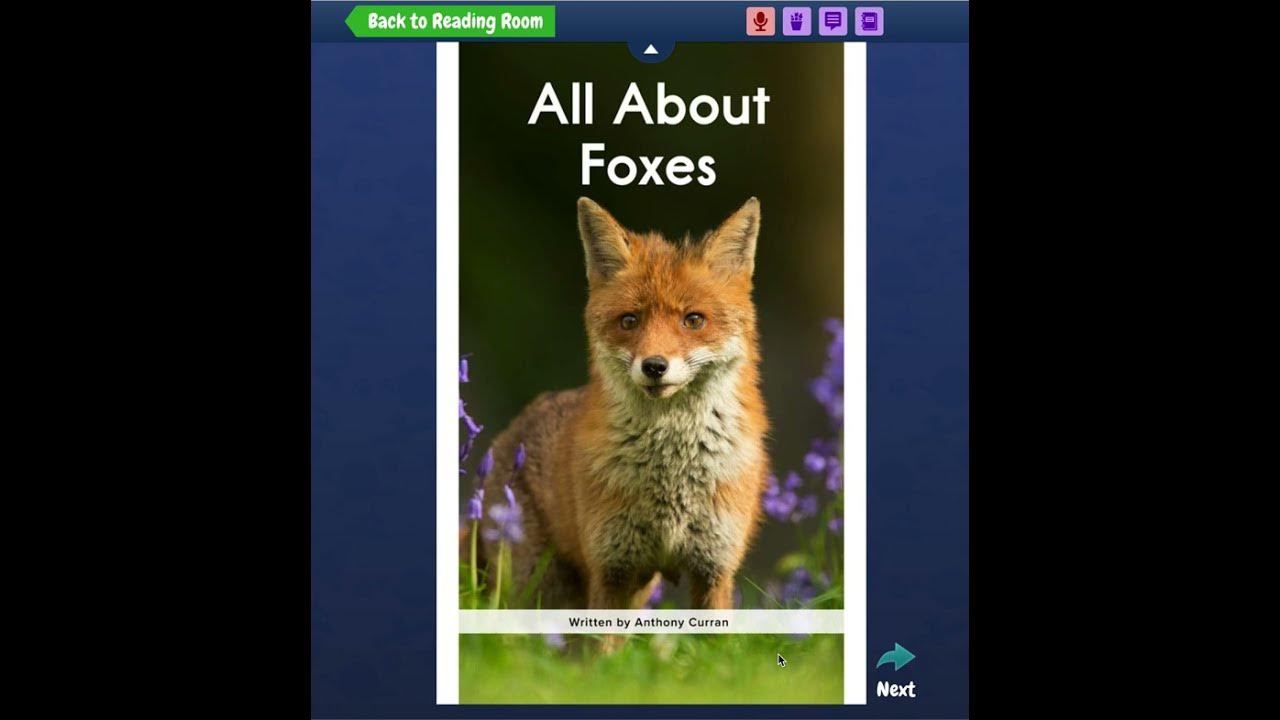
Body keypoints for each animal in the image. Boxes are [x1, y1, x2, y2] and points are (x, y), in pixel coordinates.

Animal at [477, 197, 769, 619]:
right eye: (630, 321)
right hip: (540, 590)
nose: (654, 366)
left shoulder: (713, 568)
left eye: (693, 319)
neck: (671, 475)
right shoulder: (612, 568)